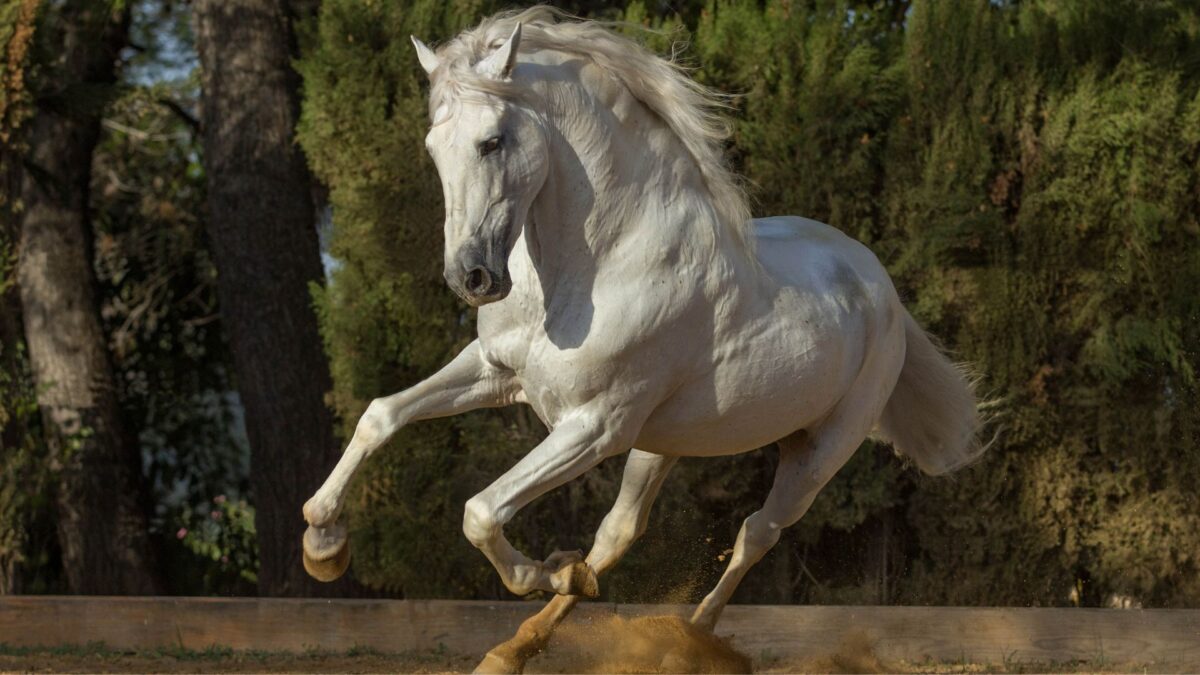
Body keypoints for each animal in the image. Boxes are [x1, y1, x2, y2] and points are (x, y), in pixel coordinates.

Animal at [300, 7, 986, 673]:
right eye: (433, 147)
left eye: (491, 142)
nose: (470, 278)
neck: (597, 265)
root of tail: (880, 287)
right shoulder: (498, 372)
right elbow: (380, 415)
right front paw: (322, 544)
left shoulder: (595, 426)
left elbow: (480, 511)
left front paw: (540, 569)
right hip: (664, 442)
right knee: (620, 531)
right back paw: (518, 643)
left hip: (818, 453)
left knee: (756, 533)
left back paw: (689, 639)